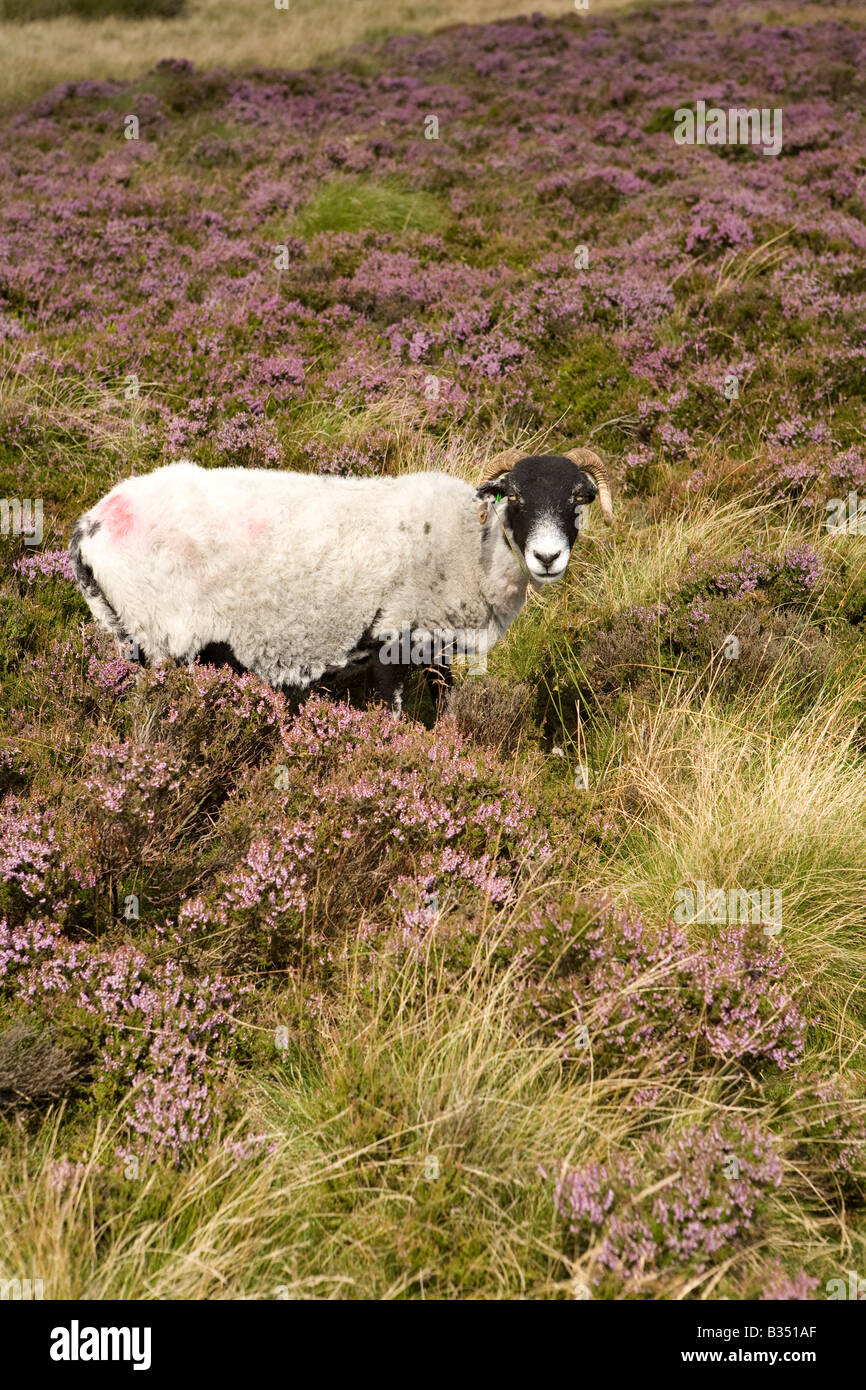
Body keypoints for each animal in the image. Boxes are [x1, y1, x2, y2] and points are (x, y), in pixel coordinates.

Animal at [69, 448, 612, 714]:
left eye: (578, 498)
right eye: (514, 497)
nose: (547, 557)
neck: (469, 548)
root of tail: (90, 525)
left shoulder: (434, 646)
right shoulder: (394, 638)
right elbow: (395, 715)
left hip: (131, 636)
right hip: (162, 639)